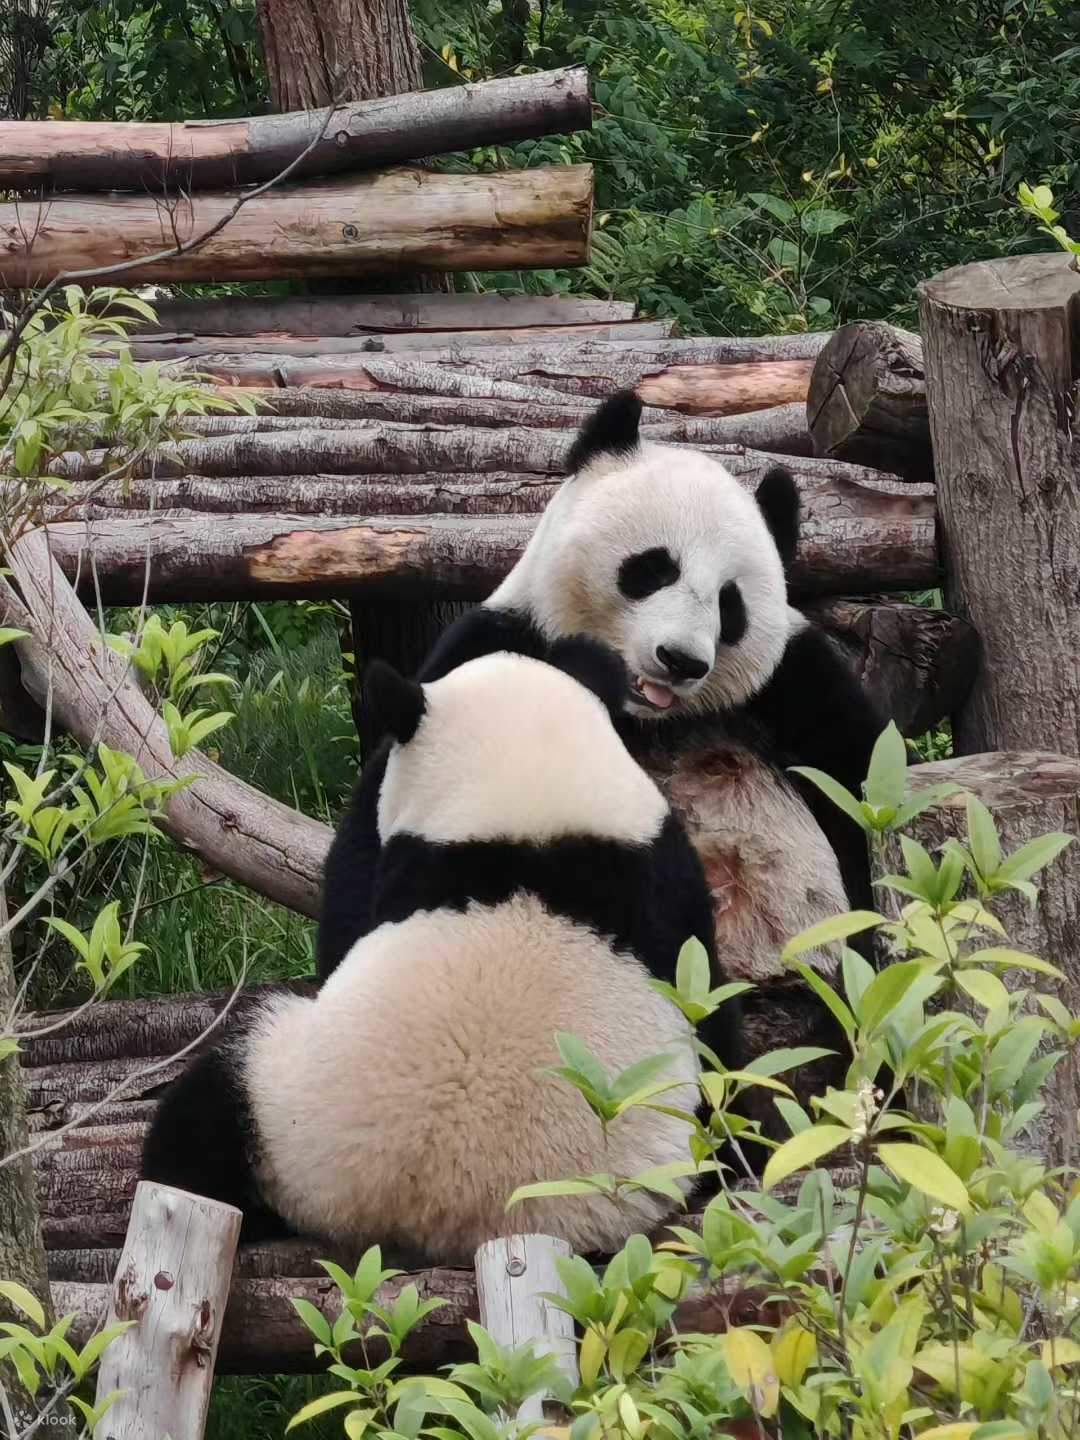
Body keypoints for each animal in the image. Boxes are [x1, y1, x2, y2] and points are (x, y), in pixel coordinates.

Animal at [141, 639, 745, 1259]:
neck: (526, 823)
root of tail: (425, 1212)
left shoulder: (663, 876)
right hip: (278, 1110)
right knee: (201, 1131)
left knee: (200, 1112)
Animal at [317, 391, 886, 1131]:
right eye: (654, 568)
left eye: (730, 603)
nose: (681, 660)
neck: (649, 717)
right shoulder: (492, 651)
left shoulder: (797, 690)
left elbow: (870, 791)